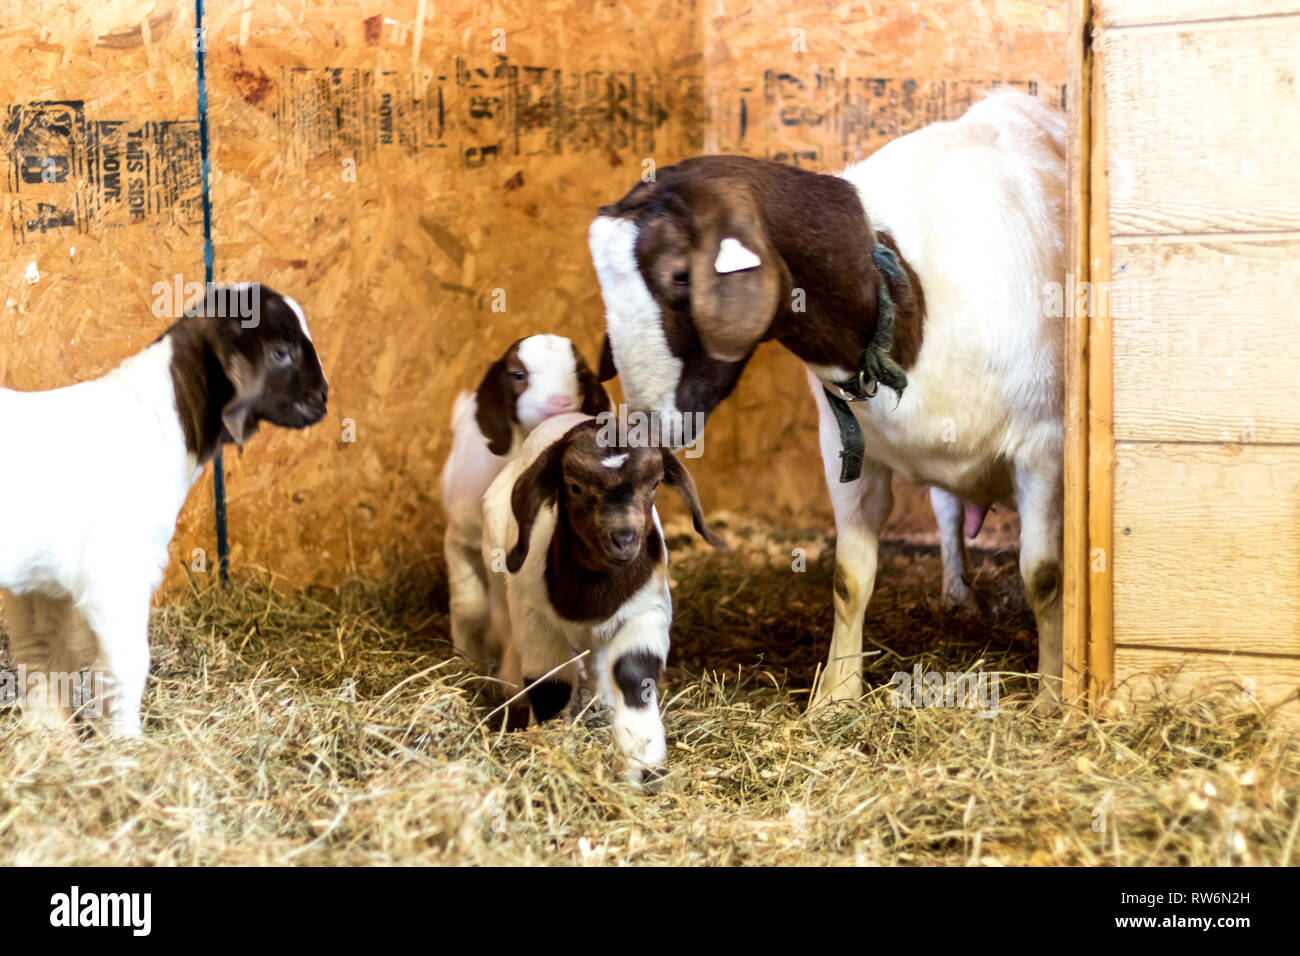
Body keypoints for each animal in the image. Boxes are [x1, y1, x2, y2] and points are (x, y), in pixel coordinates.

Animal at [0, 283, 328, 735]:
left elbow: (42, 655)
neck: (163, 422)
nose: (323, 399)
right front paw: (126, 741)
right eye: (281, 351)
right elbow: (126, 665)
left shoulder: (37, 584)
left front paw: (51, 737)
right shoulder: (115, 574)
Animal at [440, 335, 610, 668]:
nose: (559, 403)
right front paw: (469, 661)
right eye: (518, 374)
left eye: (579, 374)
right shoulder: (460, 538)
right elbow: (470, 607)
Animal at [480, 414, 725, 782]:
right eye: (574, 486)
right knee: (506, 631)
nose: (623, 537)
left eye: (654, 484)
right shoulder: (534, 619)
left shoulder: (648, 610)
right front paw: (557, 756)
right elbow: (550, 686)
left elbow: (635, 673)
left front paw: (643, 762)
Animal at [587, 89, 1067, 709]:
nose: (647, 424)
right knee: (946, 509)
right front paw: (835, 696)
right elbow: (849, 578)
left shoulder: (1044, 447)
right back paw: (957, 595)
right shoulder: (844, 446)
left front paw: (1054, 694)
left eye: (680, 277)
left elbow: (1044, 576)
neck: (901, 296)